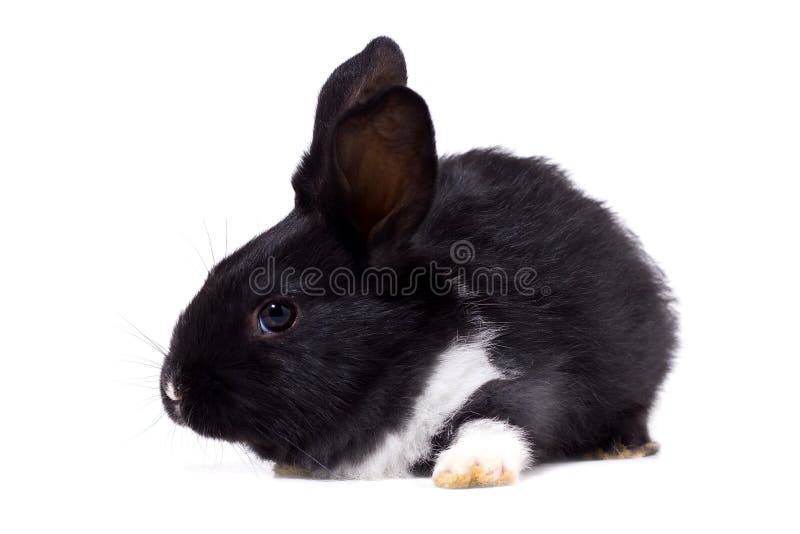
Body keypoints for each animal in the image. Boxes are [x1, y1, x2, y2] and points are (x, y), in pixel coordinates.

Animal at [159, 36, 676, 488]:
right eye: (214, 272)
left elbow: (501, 421)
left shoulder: (512, 374)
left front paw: (466, 473)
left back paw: (622, 447)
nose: (174, 392)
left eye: (276, 313)